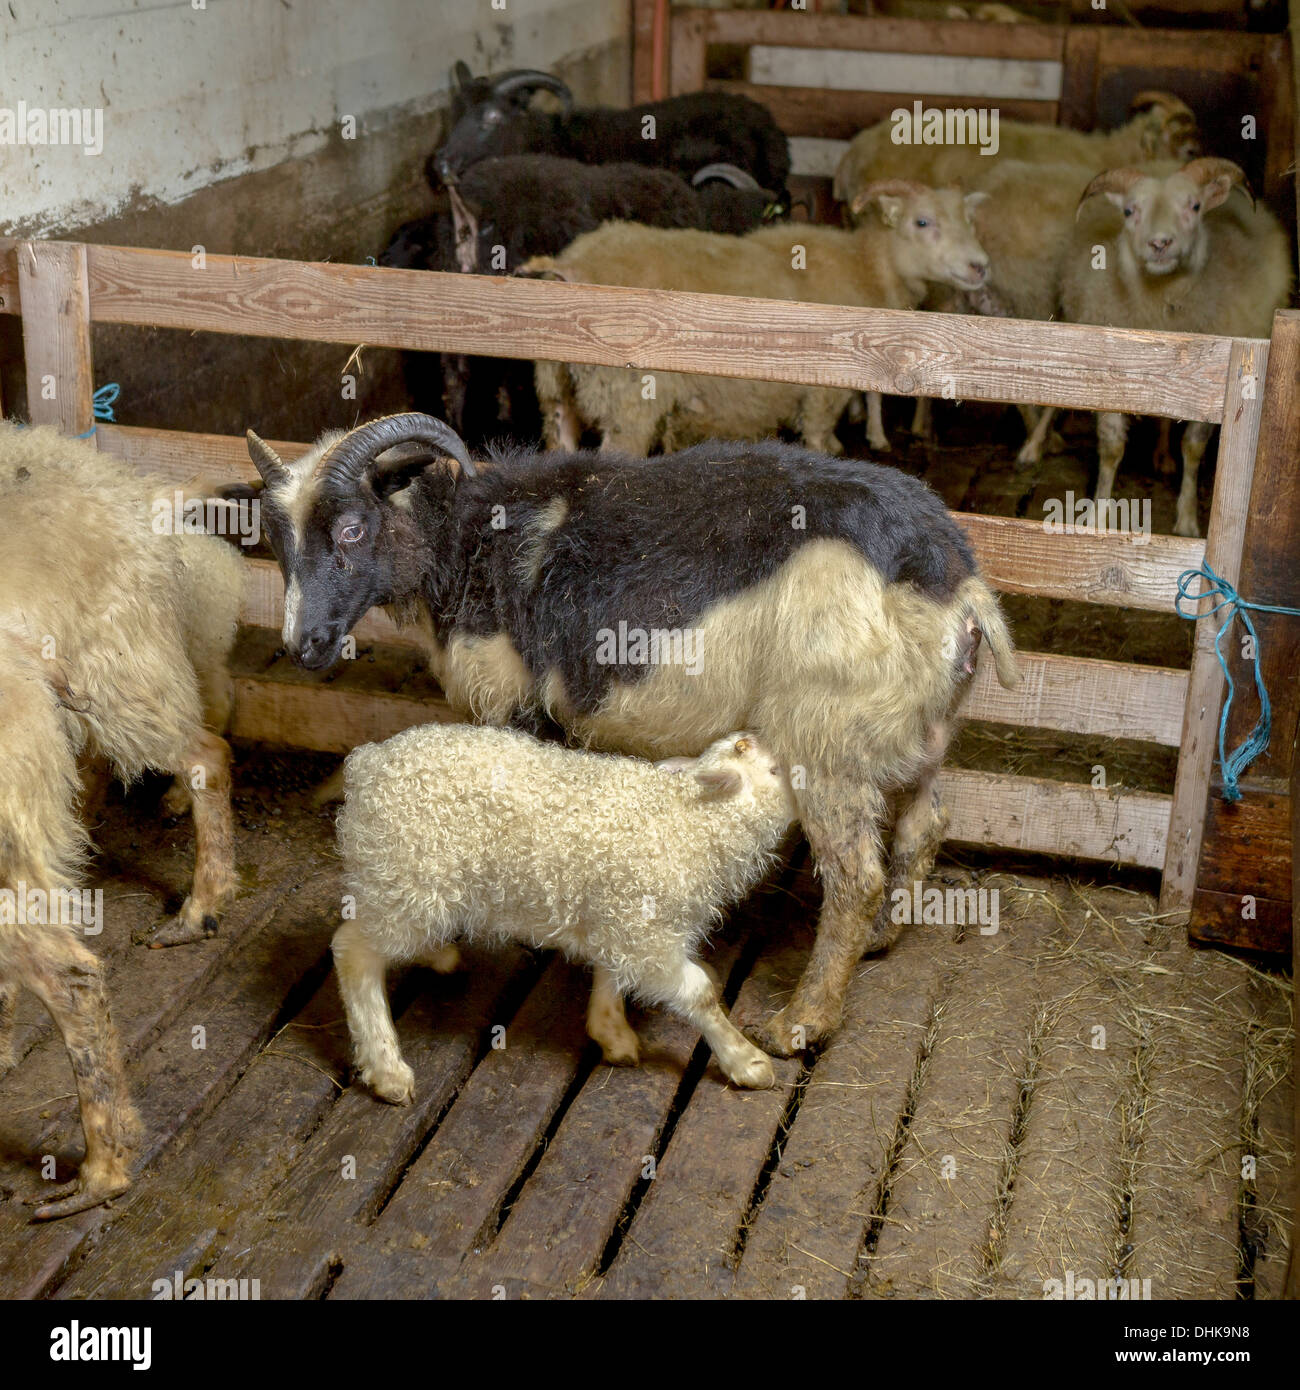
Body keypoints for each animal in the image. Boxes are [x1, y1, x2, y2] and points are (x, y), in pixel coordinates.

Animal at [243, 412, 1019, 1057]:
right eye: (277, 541)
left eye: (350, 530)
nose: (304, 646)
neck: (462, 544)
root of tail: (960, 588)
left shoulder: (512, 701)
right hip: (917, 730)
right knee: (926, 820)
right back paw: (886, 935)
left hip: (826, 741)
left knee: (854, 878)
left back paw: (800, 1023)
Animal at [334, 727, 797, 1100]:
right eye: (774, 769)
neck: (694, 821)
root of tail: (369, 764)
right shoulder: (648, 933)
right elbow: (699, 993)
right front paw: (747, 1062)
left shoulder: (622, 915)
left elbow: (612, 972)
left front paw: (611, 1032)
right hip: (407, 877)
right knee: (352, 950)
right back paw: (387, 1069)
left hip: (409, 888)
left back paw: (438, 955)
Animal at [525, 179, 991, 456]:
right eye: (922, 222)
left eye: (971, 222)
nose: (980, 266)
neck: (868, 266)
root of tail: (571, 265)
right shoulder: (821, 393)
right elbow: (818, 439)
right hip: (627, 401)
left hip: (555, 391)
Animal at [1059, 157, 1292, 537]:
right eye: (1129, 211)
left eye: (1194, 206)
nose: (1160, 244)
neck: (1162, 308)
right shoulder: (1109, 376)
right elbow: (1111, 449)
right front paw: (1097, 519)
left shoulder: (1213, 385)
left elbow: (1193, 448)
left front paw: (1186, 520)